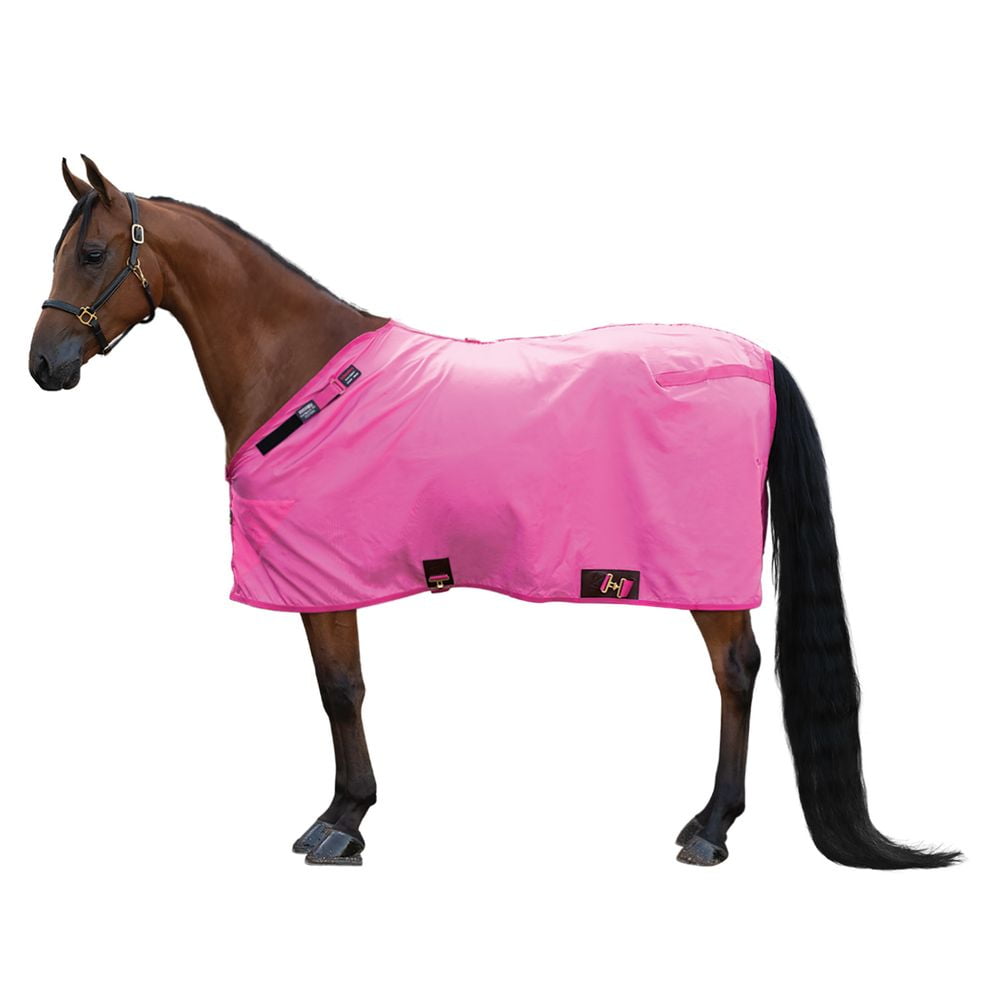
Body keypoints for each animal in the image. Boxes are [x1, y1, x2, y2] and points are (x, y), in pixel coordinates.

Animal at [28, 156, 961, 869]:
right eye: (60, 253)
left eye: (95, 253)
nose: (44, 365)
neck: (301, 375)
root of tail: (755, 358)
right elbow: (343, 690)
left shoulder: (325, 578)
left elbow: (340, 691)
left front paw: (342, 821)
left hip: (706, 575)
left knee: (735, 671)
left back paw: (712, 829)